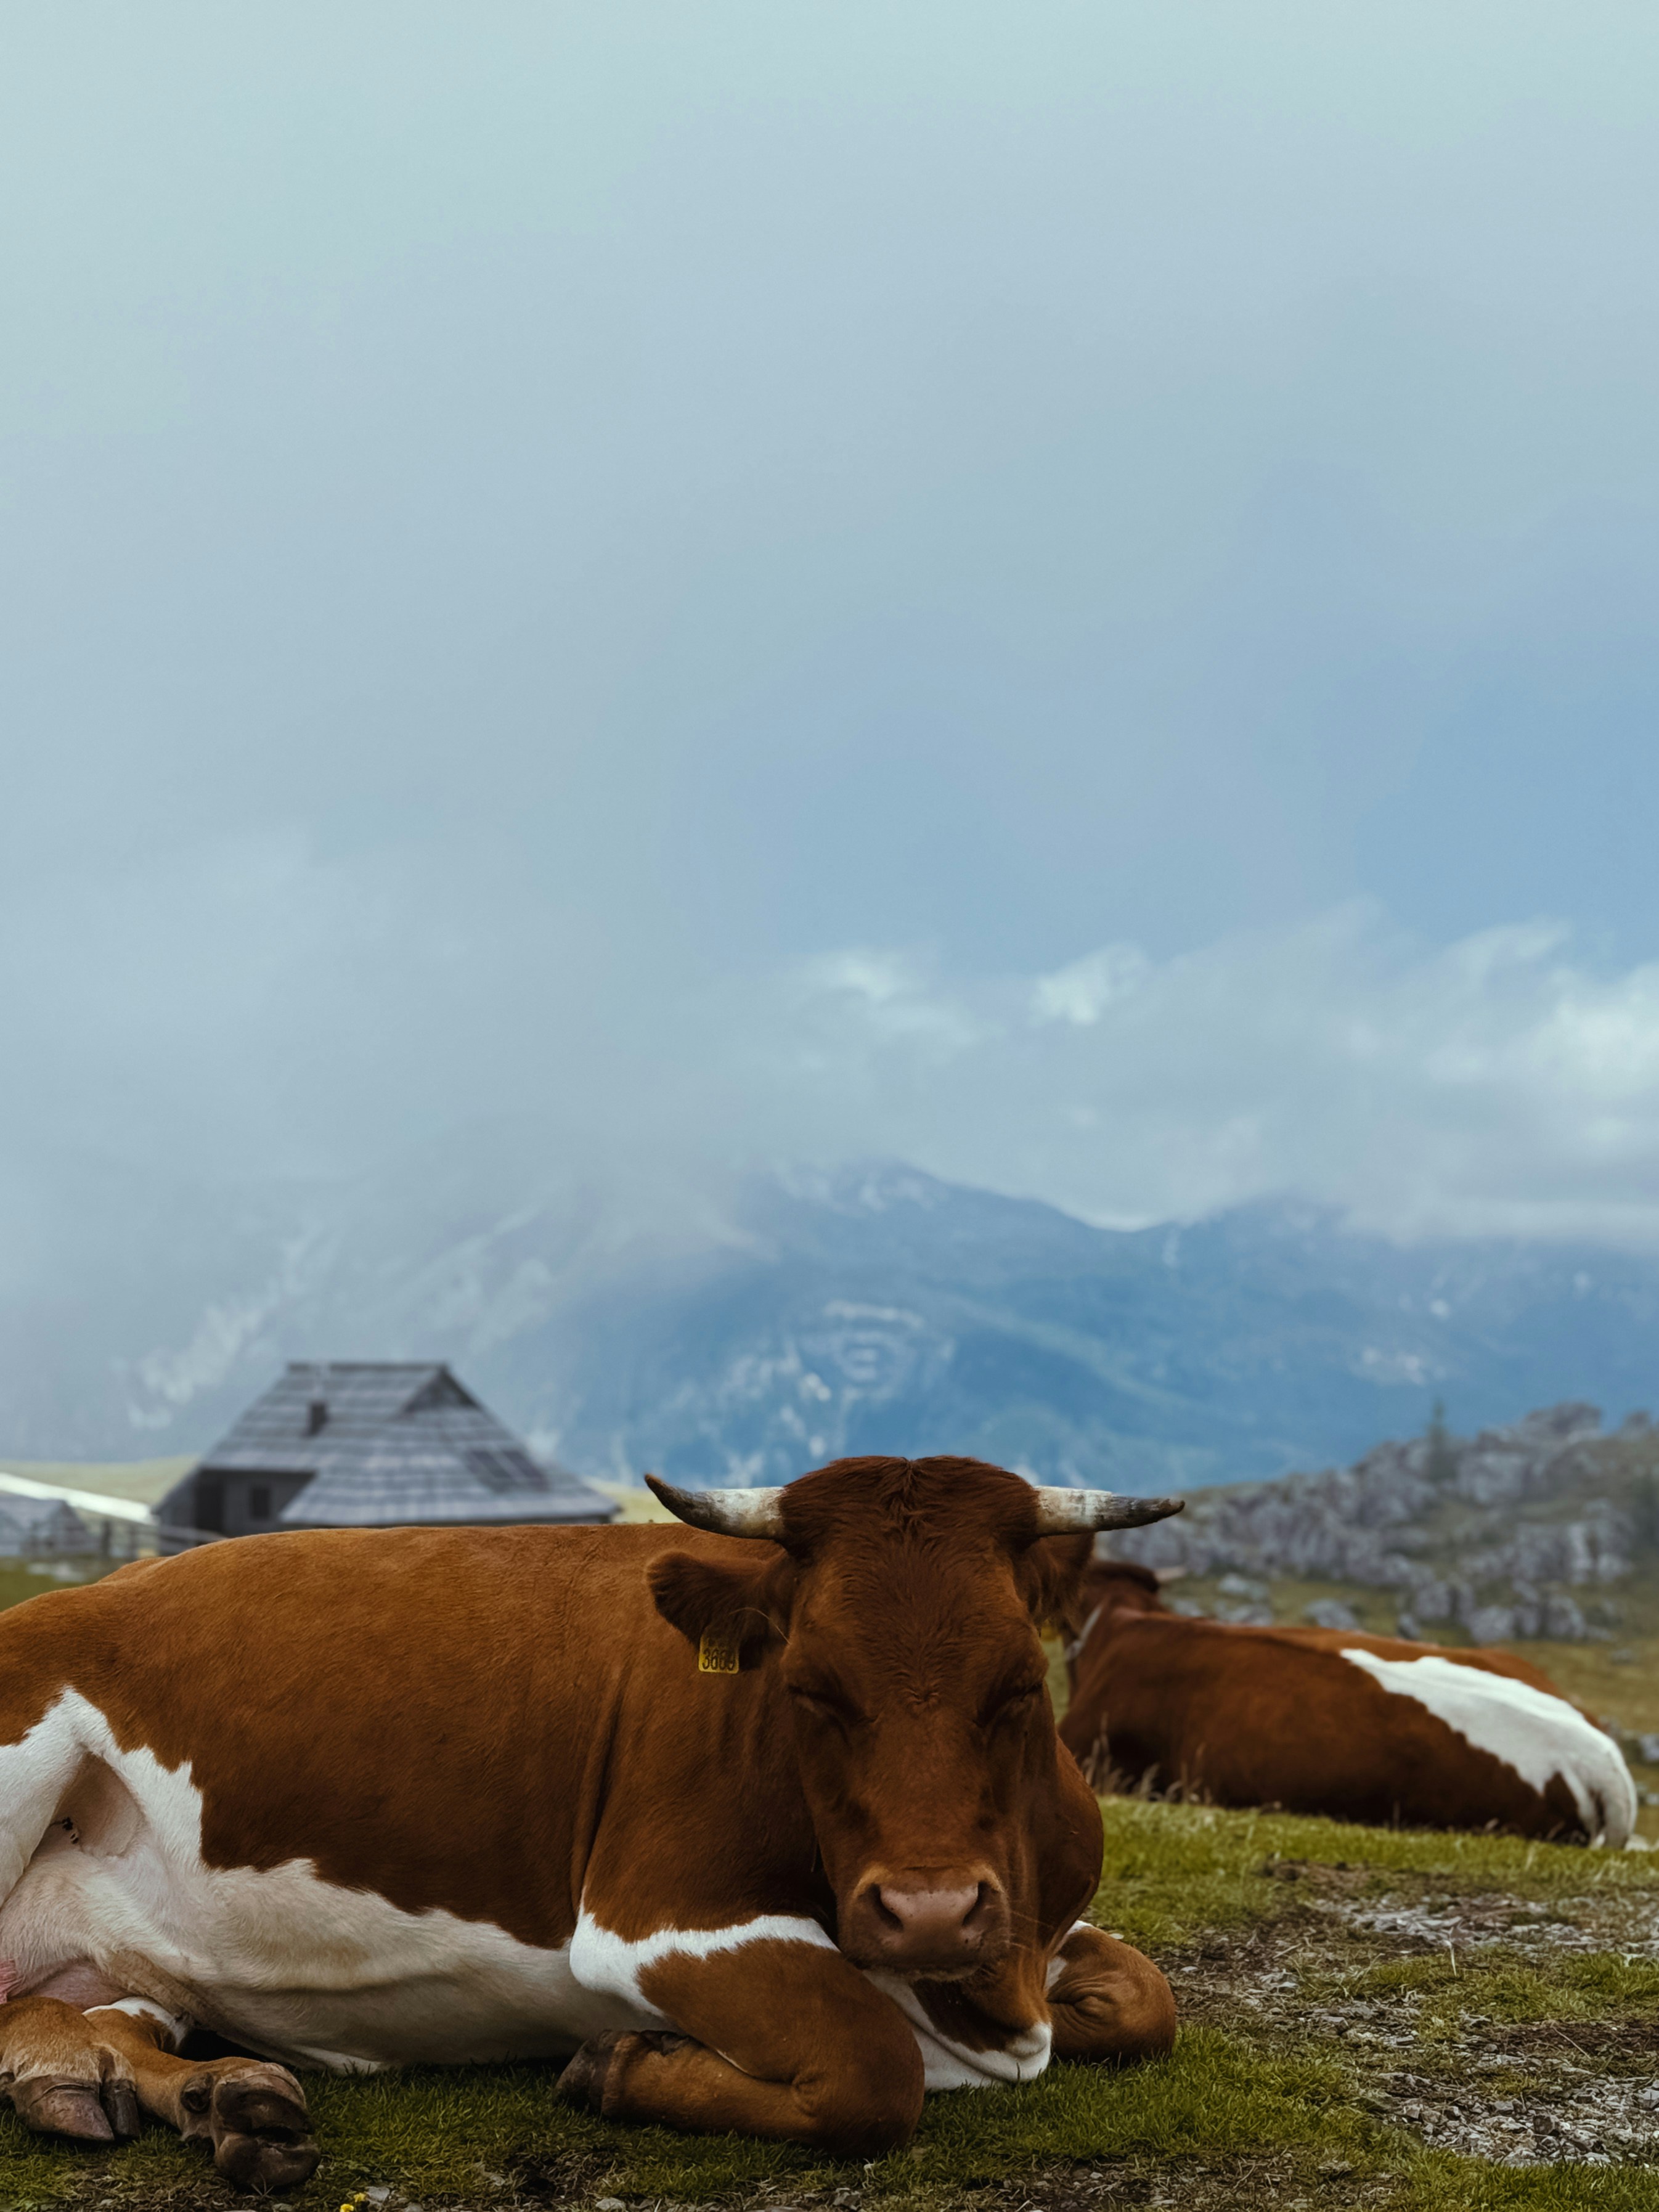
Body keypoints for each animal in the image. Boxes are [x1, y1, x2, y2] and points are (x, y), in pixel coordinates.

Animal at [0, 1455, 1182, 2189]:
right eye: (810, 1685)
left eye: (1019, 1680)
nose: (930, 1912)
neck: (990, 1996)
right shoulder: (654, 1918)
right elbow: (872, 2065)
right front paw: (620, 2065)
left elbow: (1146, 2001)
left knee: (98, 2010)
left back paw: (206, 2096)